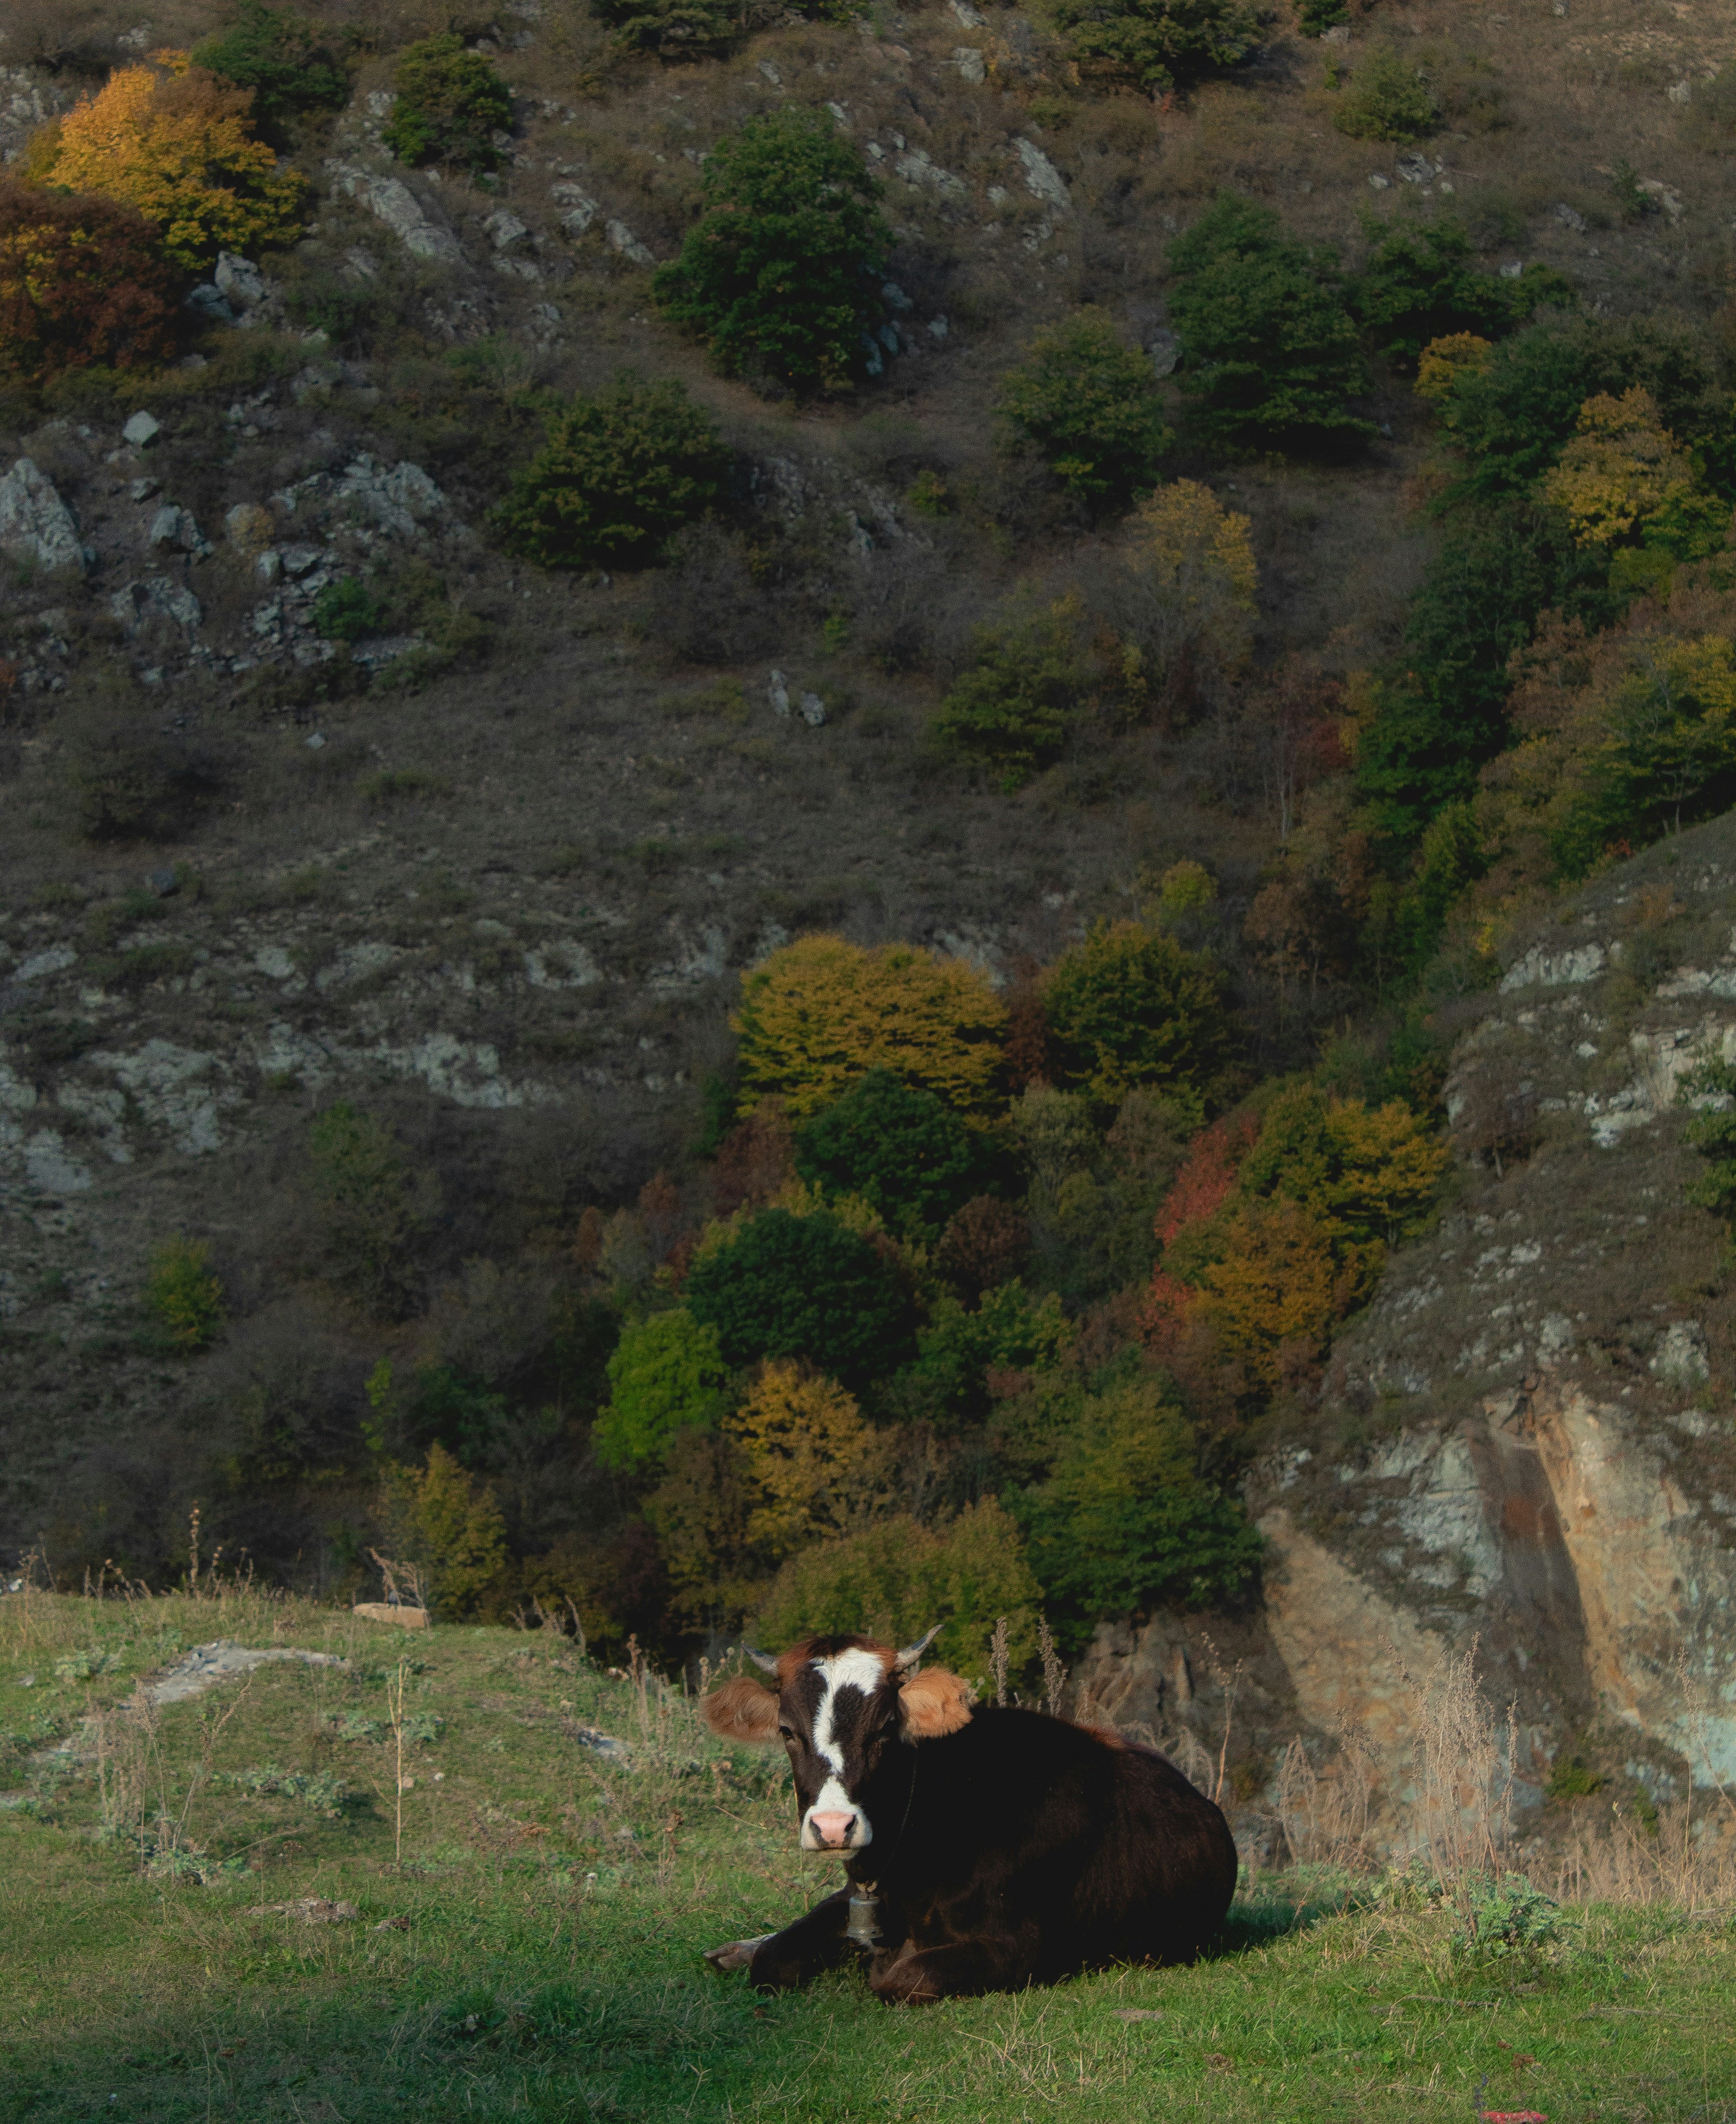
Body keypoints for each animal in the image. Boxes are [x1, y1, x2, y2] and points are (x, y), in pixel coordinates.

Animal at [700, 1630, 1238, 2004]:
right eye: (787, 1731)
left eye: (885, 1729)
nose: (834, 1827)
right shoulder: (858, 1896)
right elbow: (774, 1958)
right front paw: (751, 1949)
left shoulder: (1019, 1946)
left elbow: (900, 1978)